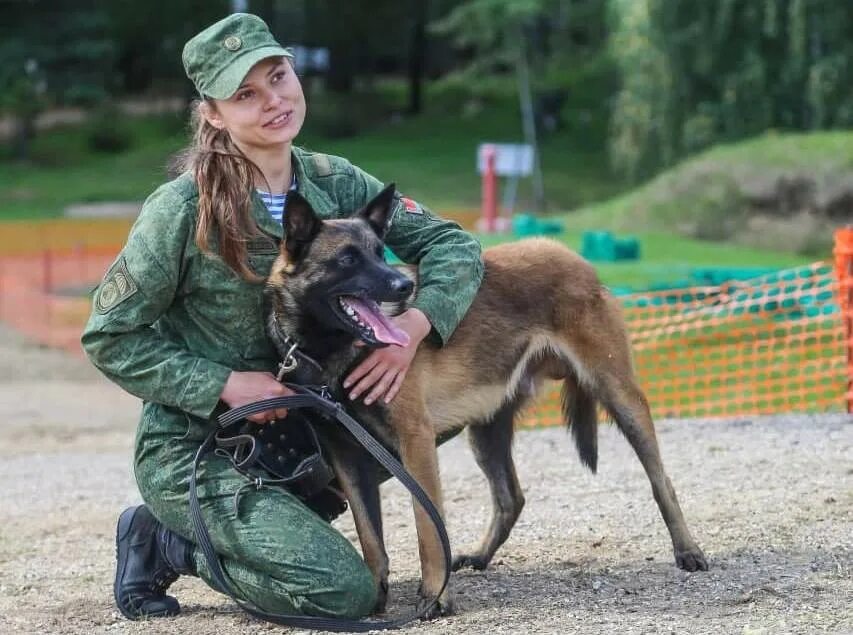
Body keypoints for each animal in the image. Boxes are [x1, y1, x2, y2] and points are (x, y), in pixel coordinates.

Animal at [266, 185, 704, 620]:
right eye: (348, 259)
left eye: (379, 252)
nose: (404, 288)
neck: (332, 349)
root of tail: (574, 258)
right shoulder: (347, 456)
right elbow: (370, 536)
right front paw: (374, 598)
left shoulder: (415, 441)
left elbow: (428, 525)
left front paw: (436, 597)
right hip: (486, 430)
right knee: (511, 498)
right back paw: (480, 555)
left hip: (620, 397)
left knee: (661, 480)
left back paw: (688, 550)